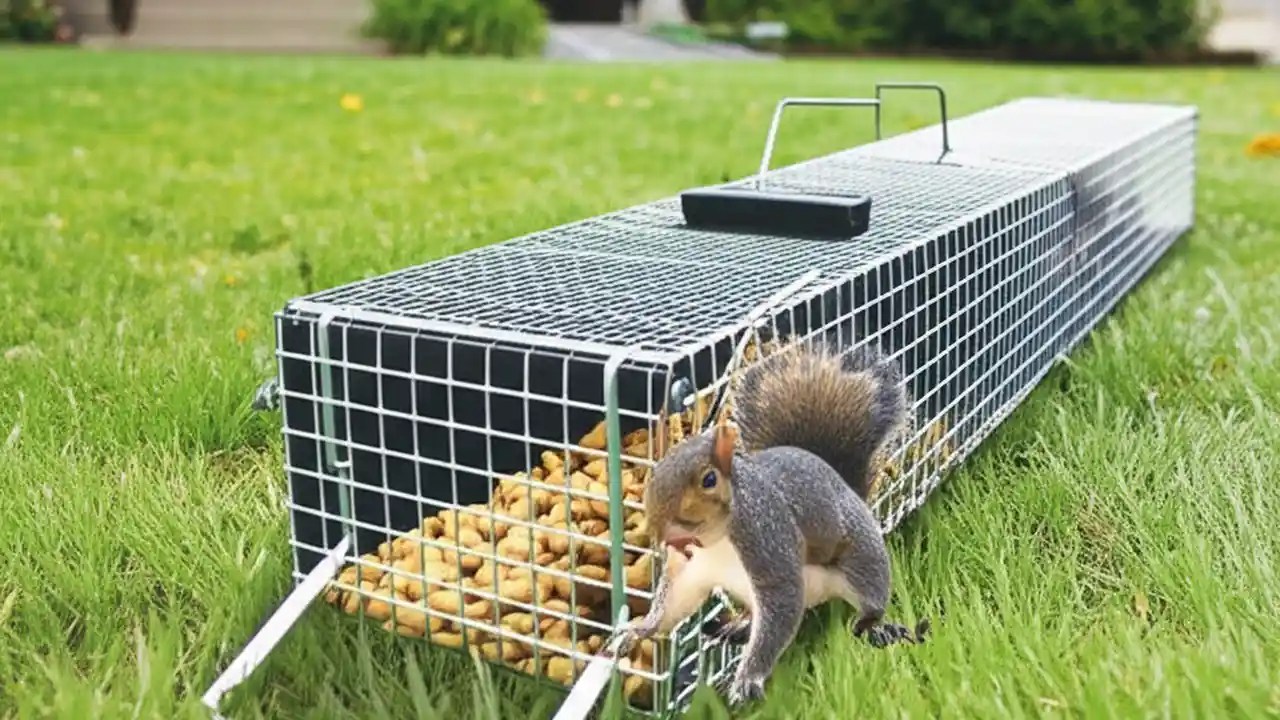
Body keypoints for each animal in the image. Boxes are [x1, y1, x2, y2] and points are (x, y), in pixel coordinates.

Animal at [612, 337, 929, 707]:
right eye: (657, 470)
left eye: (709, 480)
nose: (660, 531)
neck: (714, 541)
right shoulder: (692, 568)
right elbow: (675, 600)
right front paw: (638, 631)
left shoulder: (768, 541)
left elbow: (781, 604)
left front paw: (747, 679)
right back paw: (740, 623)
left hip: (862, 560)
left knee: (869, 596)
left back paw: (876, 626)